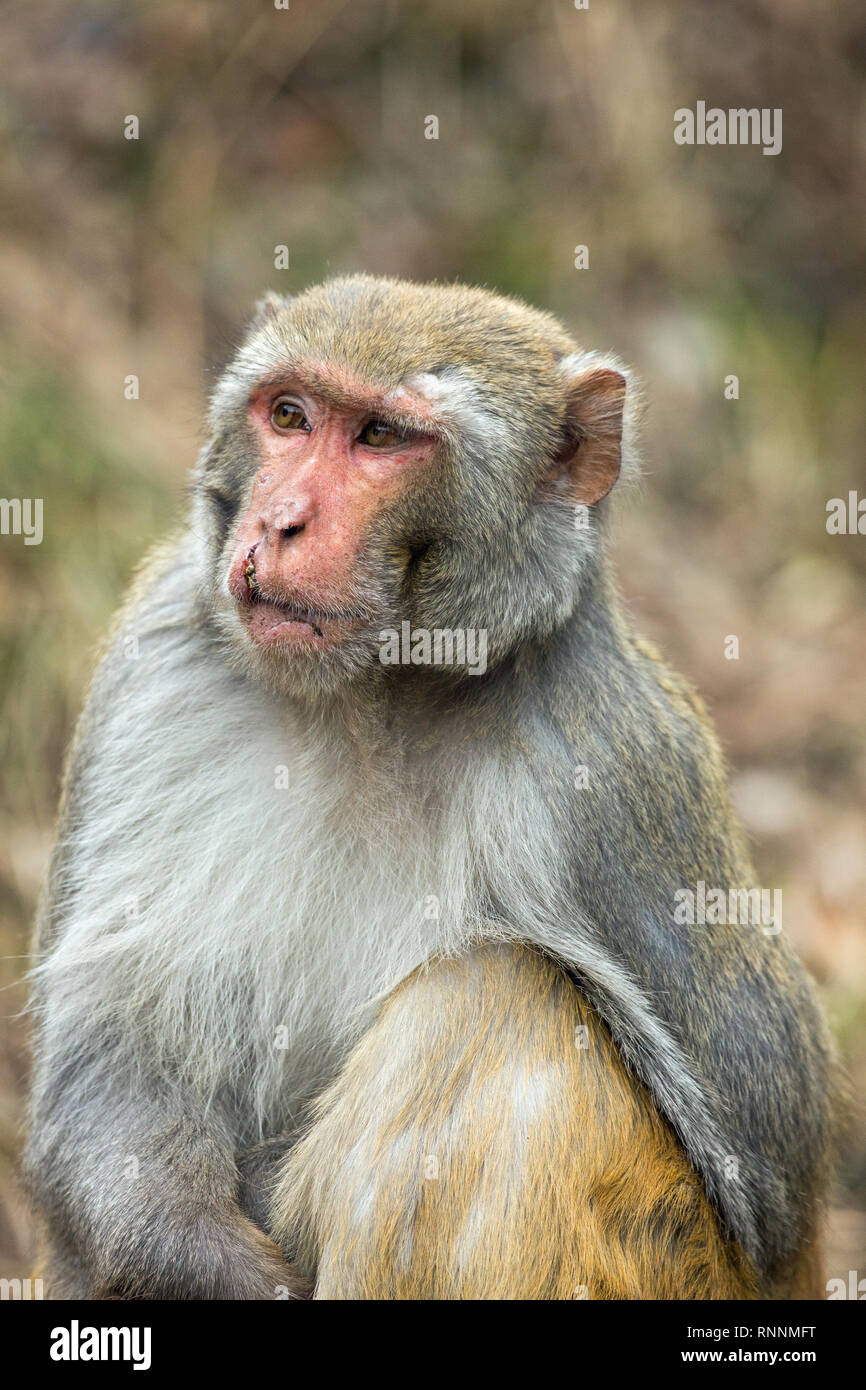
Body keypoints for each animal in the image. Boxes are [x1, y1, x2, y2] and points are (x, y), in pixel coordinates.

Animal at [24, 275, 834, 1300]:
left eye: (381, 437)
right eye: (289, 416)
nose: (278, 522)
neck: (372, 698)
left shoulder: (617, 764)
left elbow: (773, 1185)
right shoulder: (156, 658)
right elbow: (108, 1081)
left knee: (494, 1002)